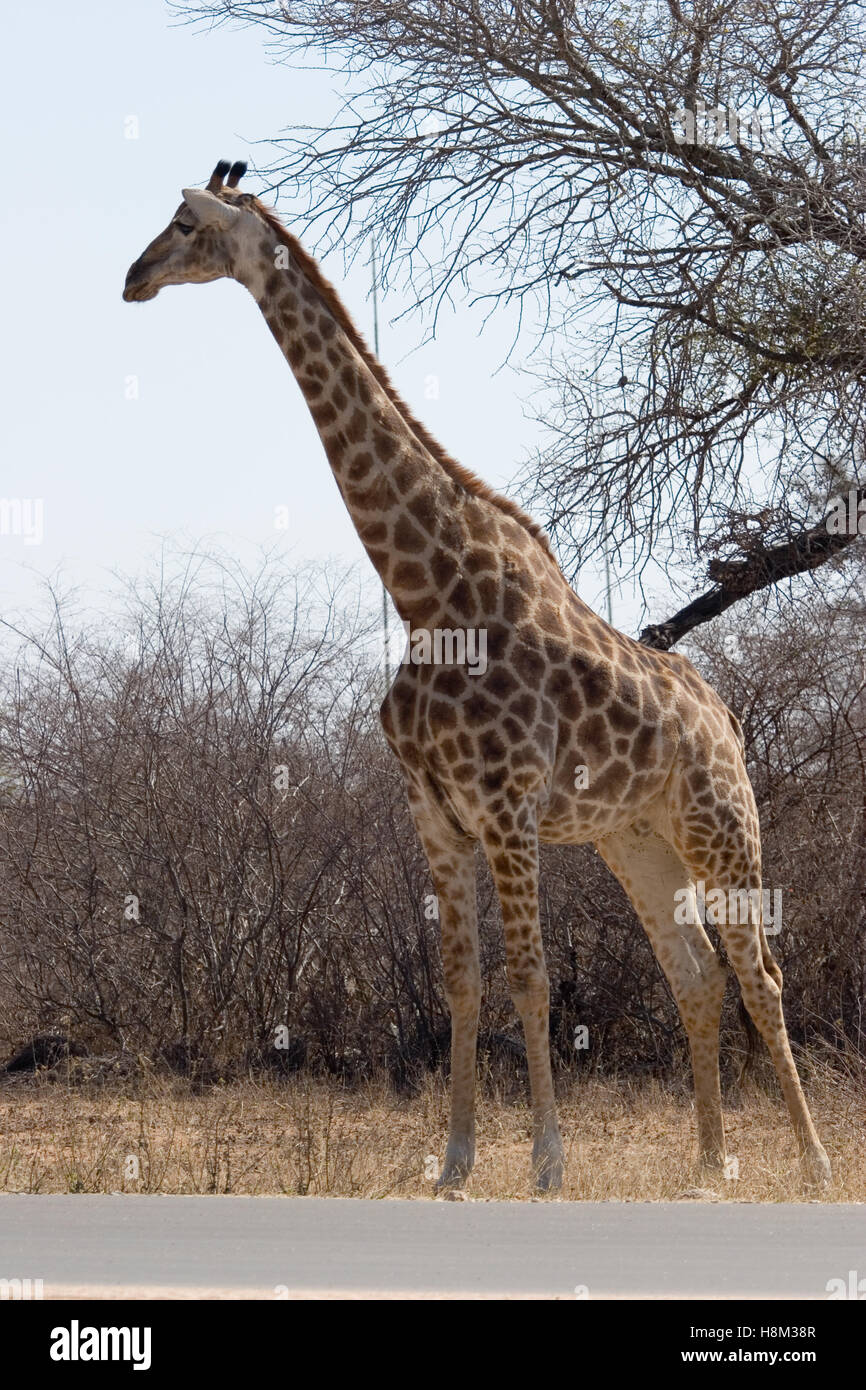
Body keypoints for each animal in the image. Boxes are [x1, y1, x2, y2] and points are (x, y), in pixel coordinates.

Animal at [123, 161, 831, 1191]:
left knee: (760, 975)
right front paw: (454, 1164)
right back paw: (705, 1166)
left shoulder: (506, 806)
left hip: (720, 822)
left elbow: (532, 979)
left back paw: (813, 1164)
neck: (427, 591)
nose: (130, 278)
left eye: (183, 222)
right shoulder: (432, 806)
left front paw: (547, 1165)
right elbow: (461, 978)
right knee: (694, 973)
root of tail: (726, 718)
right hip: (635, 840)